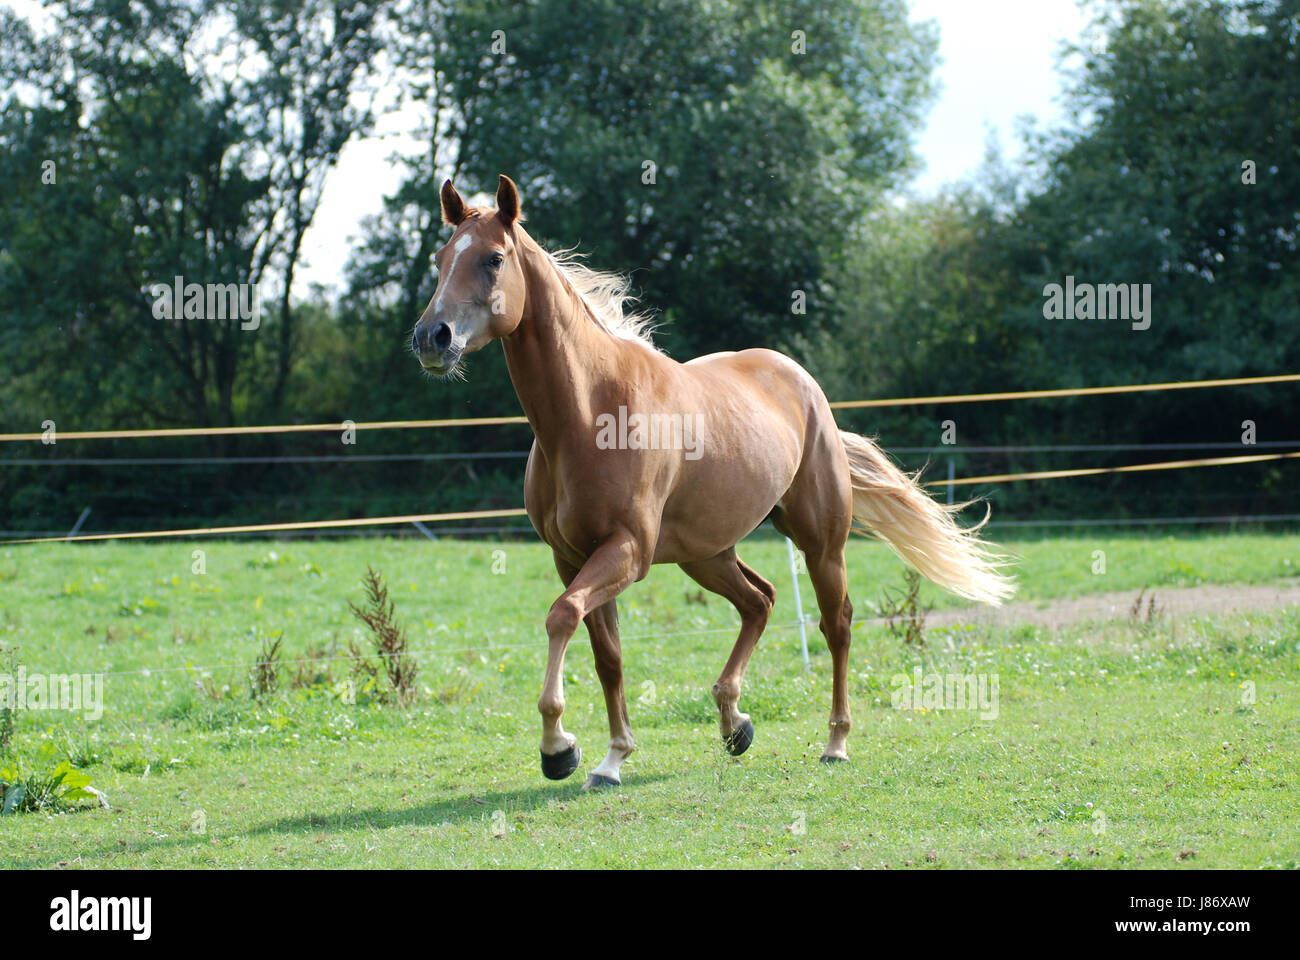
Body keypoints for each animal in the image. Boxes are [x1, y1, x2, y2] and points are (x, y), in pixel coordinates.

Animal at [412, 175, 1015, 789]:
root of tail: (806, 386)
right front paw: (611, 757)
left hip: (820, 545)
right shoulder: (572, 556)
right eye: (440, 258)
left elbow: (561, 615)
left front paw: (558, 747)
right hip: (706, 553)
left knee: (835, 624)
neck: (588, 416)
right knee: (760, 601)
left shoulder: (627, 551)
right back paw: (734, 722)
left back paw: (835, 742)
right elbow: (606, 654)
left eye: (493, 258)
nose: (431, 337)